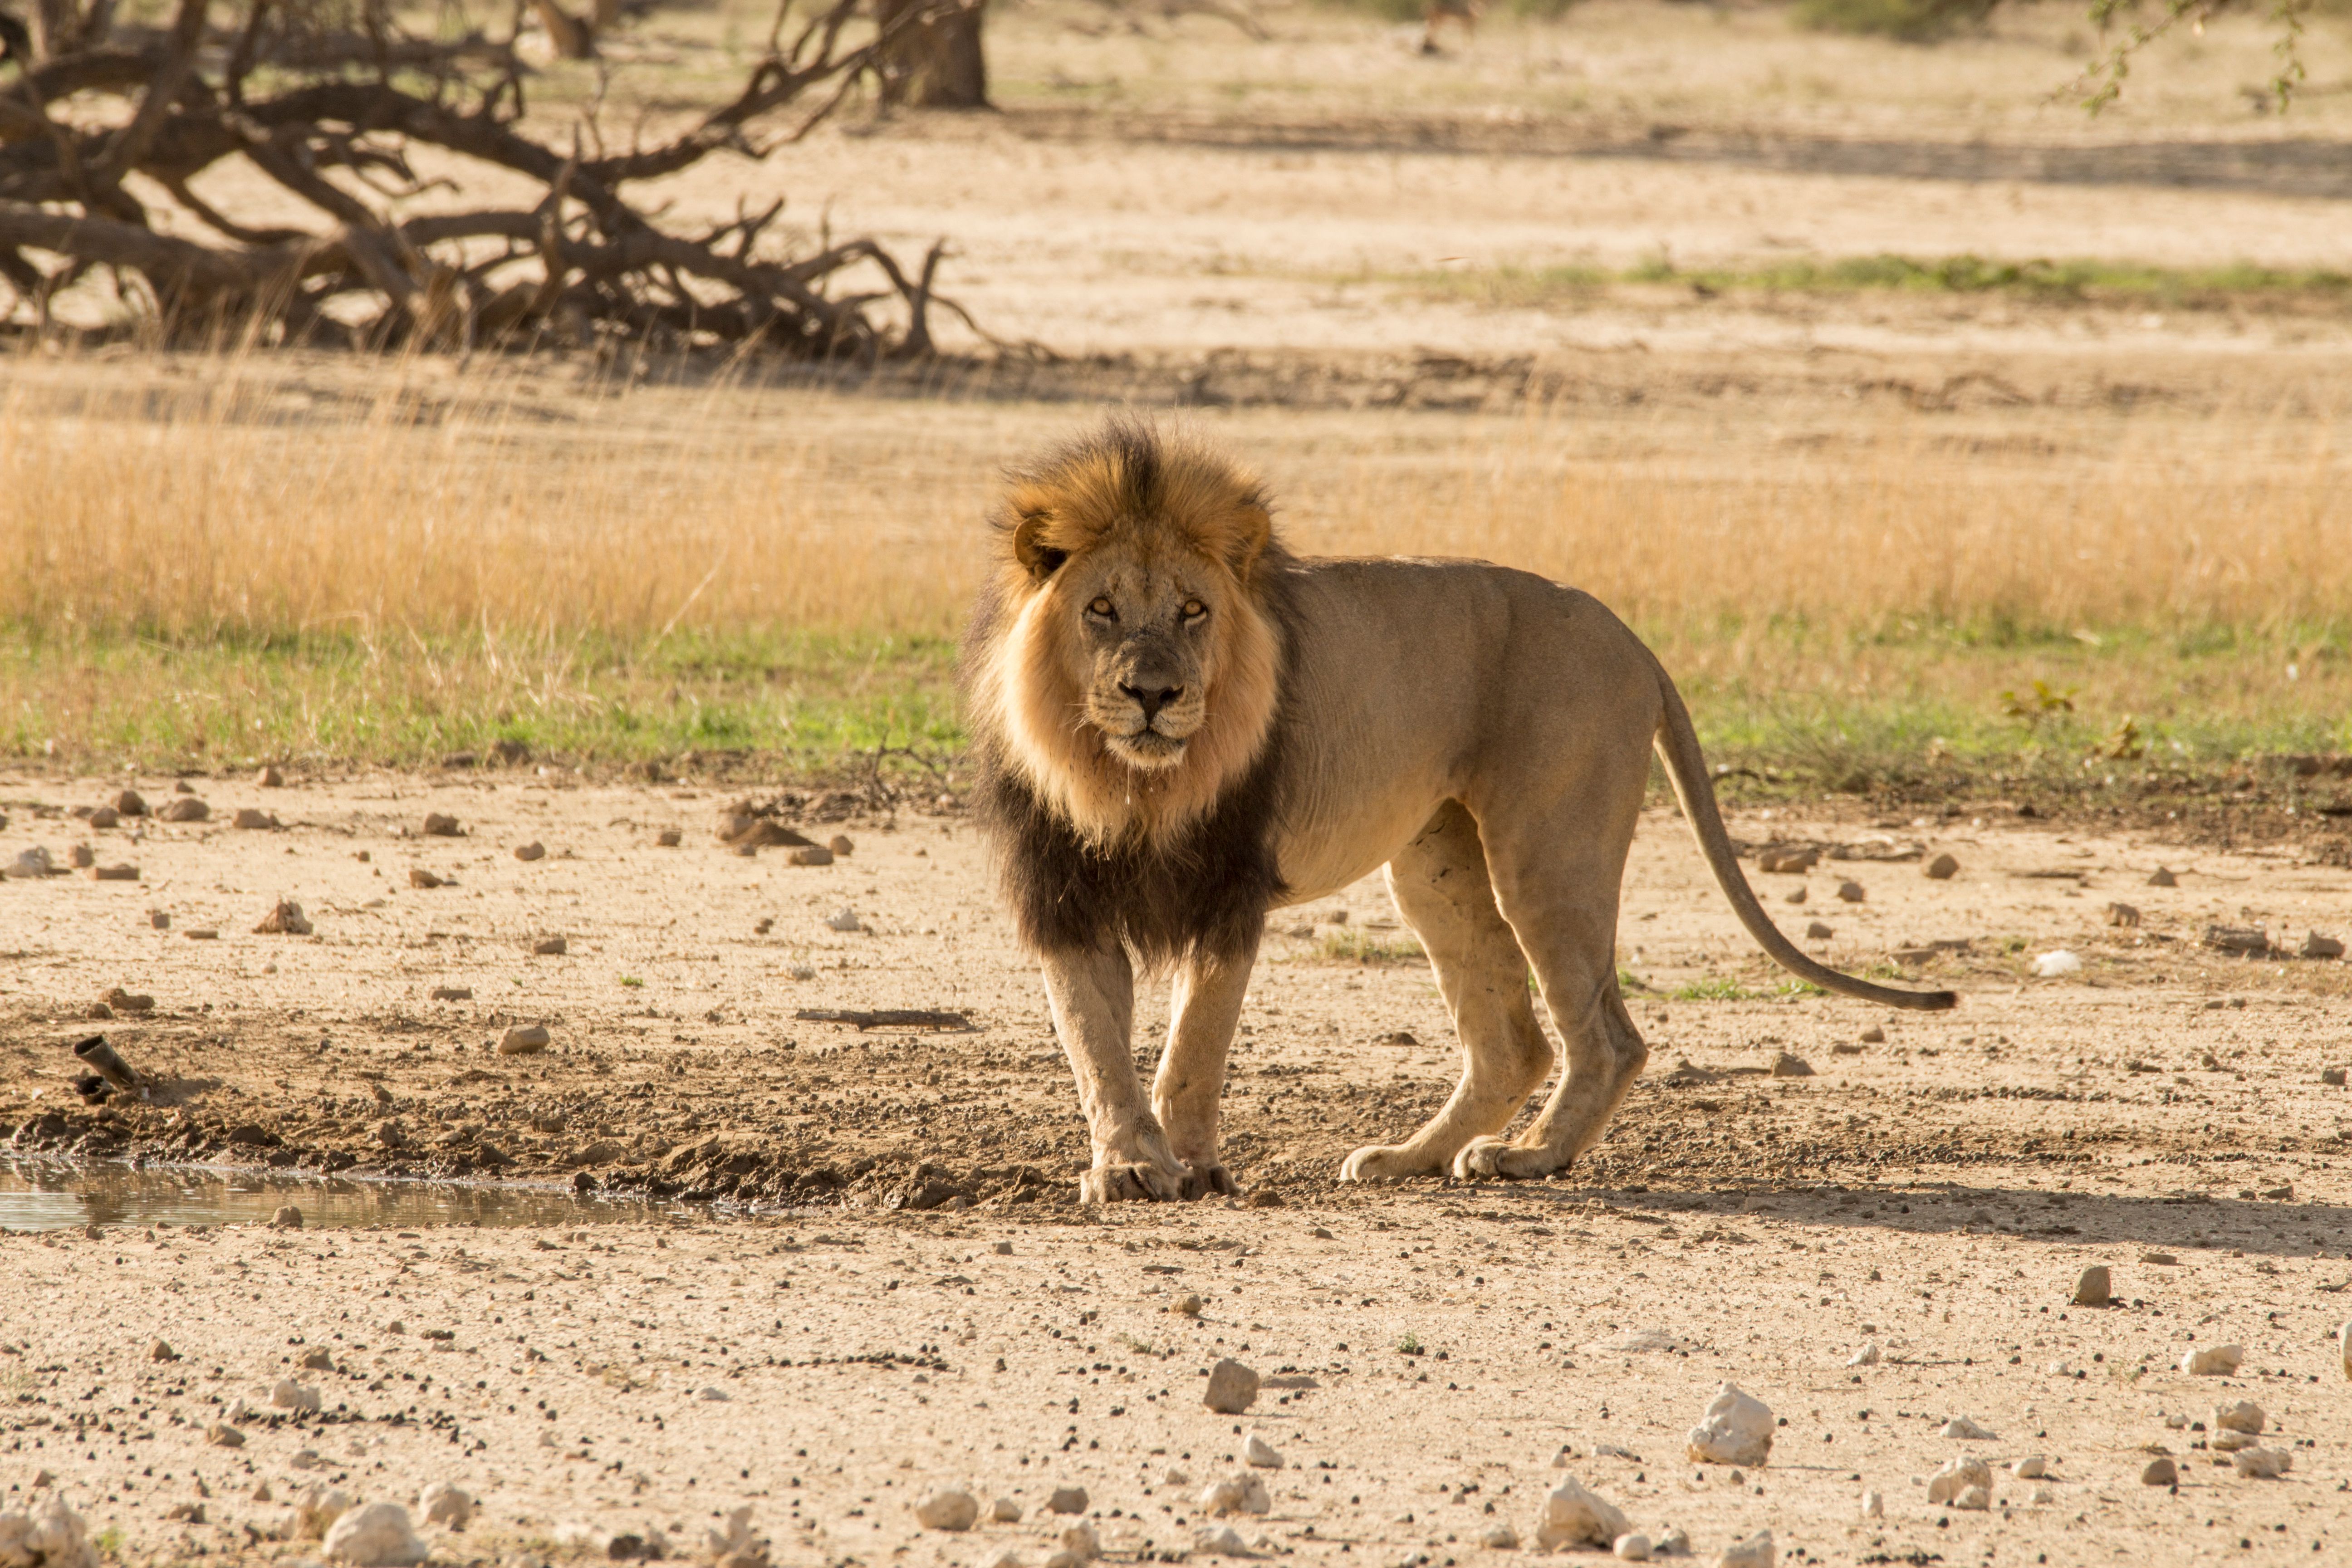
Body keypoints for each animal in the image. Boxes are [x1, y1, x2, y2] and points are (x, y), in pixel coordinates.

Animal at [963, 417, 1954, 1204]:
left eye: (1193, 611)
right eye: (1101, 608)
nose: (1153, 694)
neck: (1133, 784)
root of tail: (1629, 636)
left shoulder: (1229, 894)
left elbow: (1191, 1051)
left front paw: (1198, 1168)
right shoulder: (1063, 896)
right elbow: (1095, 1046)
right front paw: (1129, 1167)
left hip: (1547, 853)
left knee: (1607, 1036)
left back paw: (1531, 1157)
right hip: (1437, 866)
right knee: (1512, 1043)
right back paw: (1407, 1158)